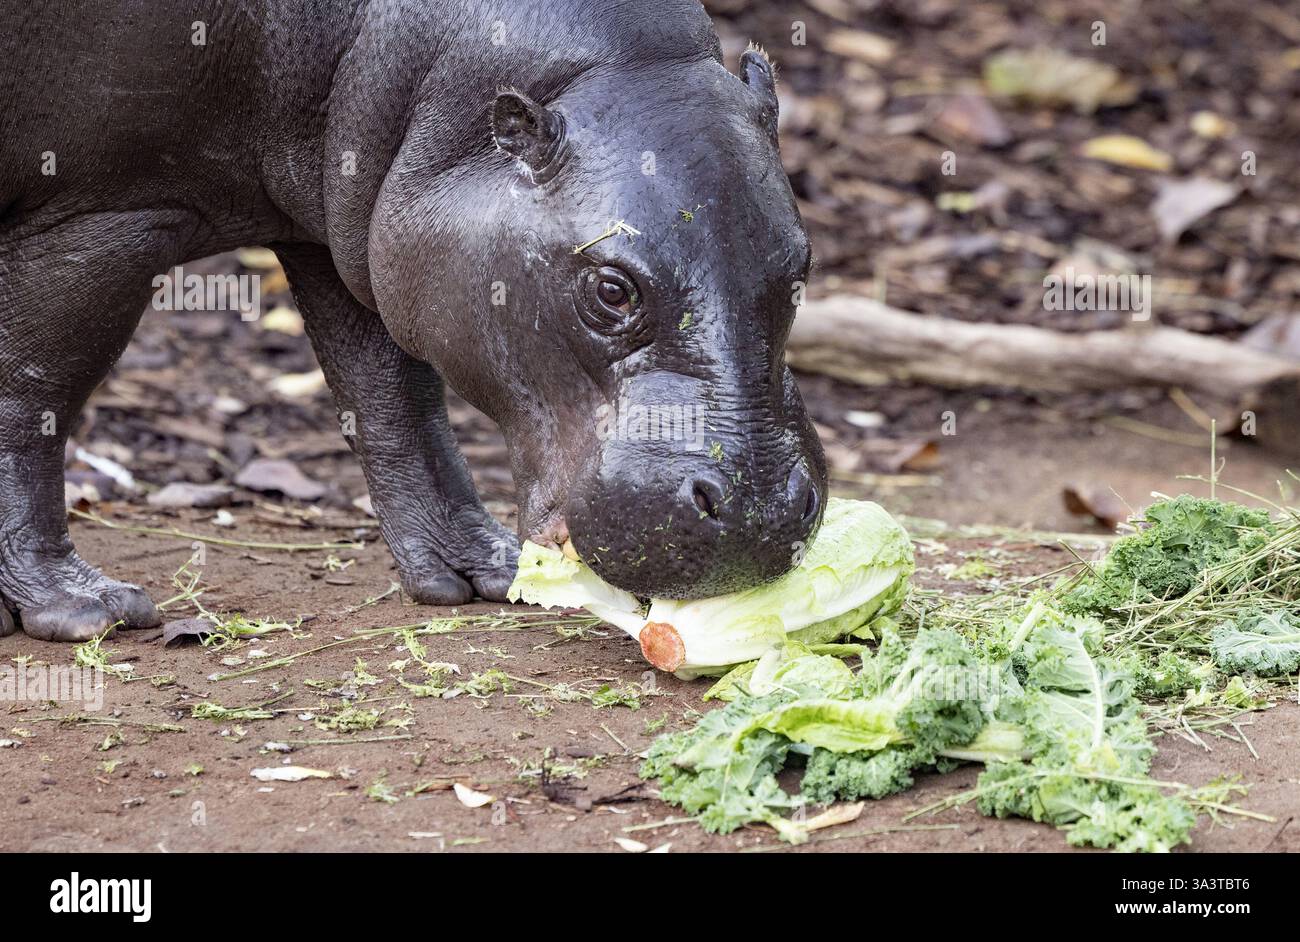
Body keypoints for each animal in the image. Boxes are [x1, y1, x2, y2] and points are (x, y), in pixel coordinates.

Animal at [0, 0, 827, 641]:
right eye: (612, 290)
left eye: (803, 265)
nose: (757, 512)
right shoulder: (104, 214)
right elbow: (31, 392)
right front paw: (82, 610)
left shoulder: (352, 220)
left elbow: (392, 396)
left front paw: (477, 571)